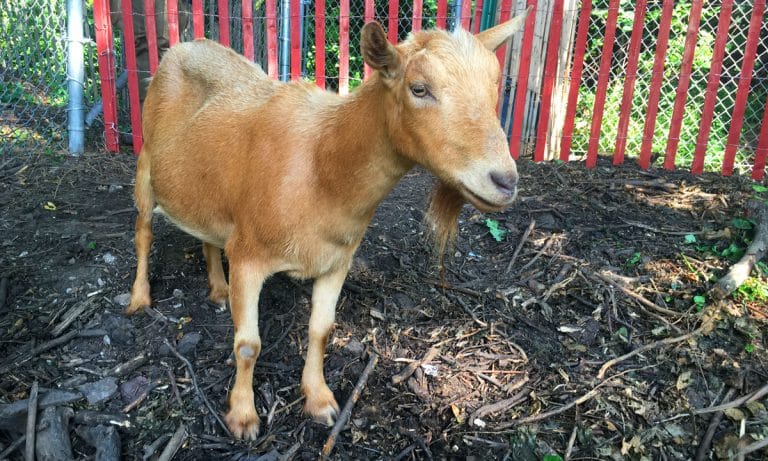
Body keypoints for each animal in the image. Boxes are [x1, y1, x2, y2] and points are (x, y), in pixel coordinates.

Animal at [128, 9, 530, 439]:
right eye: (419, 89)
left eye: (494, 85)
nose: (504, 181)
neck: (321, 166)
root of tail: (185, 46)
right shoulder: (249, 256)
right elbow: (248, 344)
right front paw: (243, 416)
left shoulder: (337, 261)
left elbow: (321, 330)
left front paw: (319, 401)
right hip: (146, 166)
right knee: (143, 232)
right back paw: (139, 298)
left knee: (207, 233)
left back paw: (219, 289)